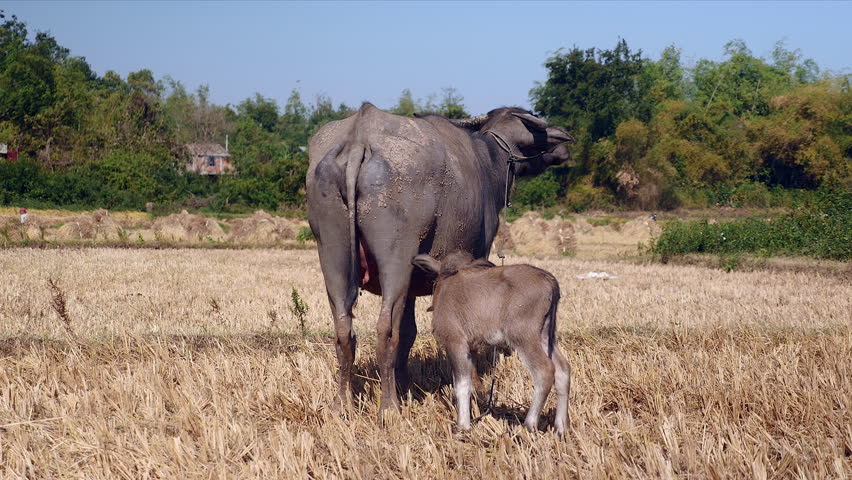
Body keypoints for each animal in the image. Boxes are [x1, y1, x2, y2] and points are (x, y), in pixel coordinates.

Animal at [306, 103, 573, 413]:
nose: (563, 145)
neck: (488, 159)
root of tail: (359, 137)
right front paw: (476, 388)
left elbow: (409, 332)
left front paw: (406, 385)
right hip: (395, 259)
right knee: (385, 329)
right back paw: (389, 407)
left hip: (332, 255)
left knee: (344, 329)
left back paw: (343, 404)